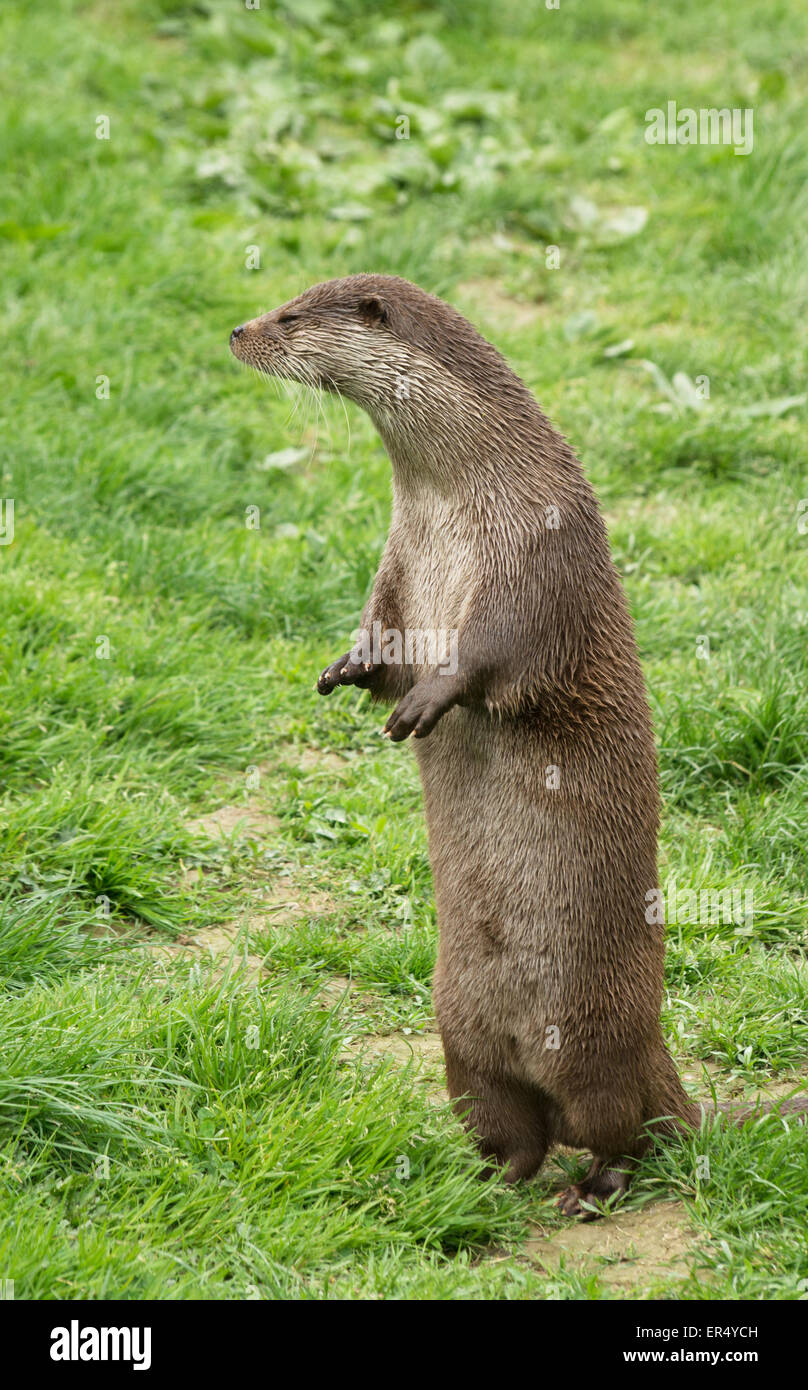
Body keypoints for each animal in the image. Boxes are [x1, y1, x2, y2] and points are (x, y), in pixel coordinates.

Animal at [230, 274, 807, 1216]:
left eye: (291, 315)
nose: (240, 330)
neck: (456, 501)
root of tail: (663, 1061)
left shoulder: (536, 550)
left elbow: (496, 651)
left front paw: (427, 702)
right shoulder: (396, 564)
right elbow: (380, 633)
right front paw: (343, 670)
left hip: (596, 1041)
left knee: (627, 1133)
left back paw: (592, 1190)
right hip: (460, 1042)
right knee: (516, 1130)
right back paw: (480, 1183)